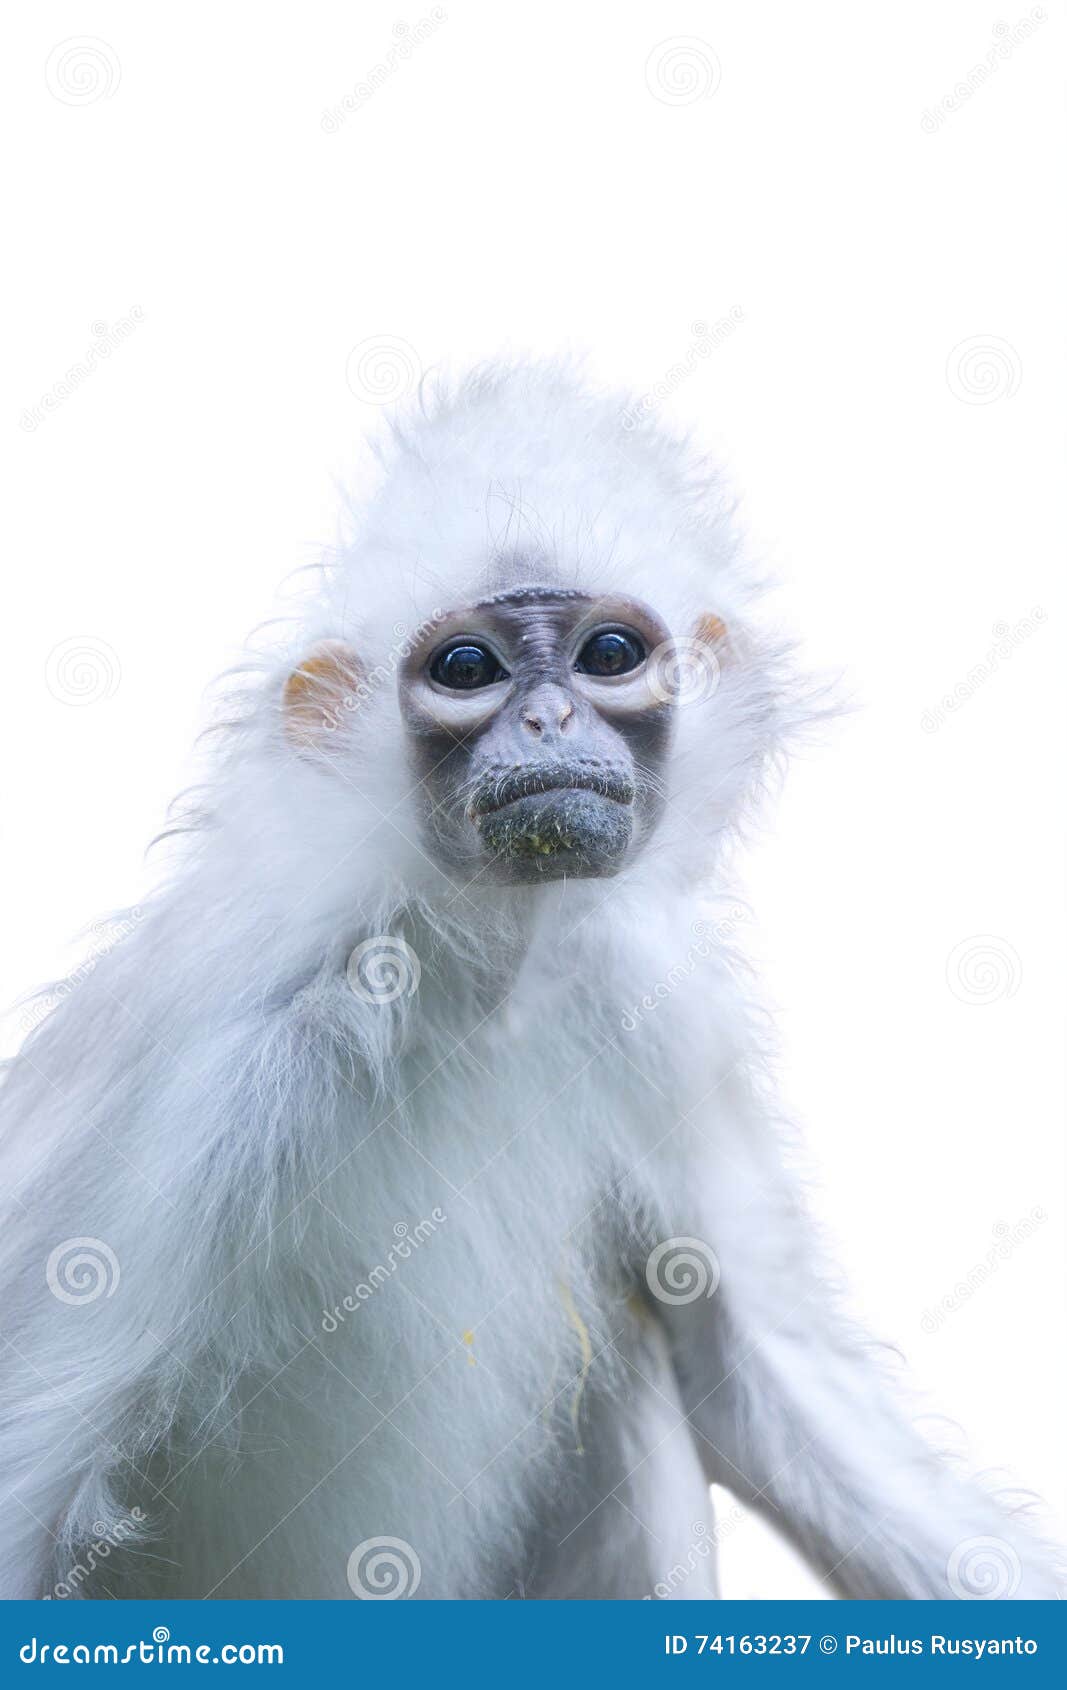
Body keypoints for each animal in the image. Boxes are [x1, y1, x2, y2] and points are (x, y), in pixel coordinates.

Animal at [0, 362, 1058, 1601]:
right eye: (468, 669)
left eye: (607, 655)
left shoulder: (639, 995)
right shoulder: (216, 1079)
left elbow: (754, 1360)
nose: (549, 718)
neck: (473, 979)